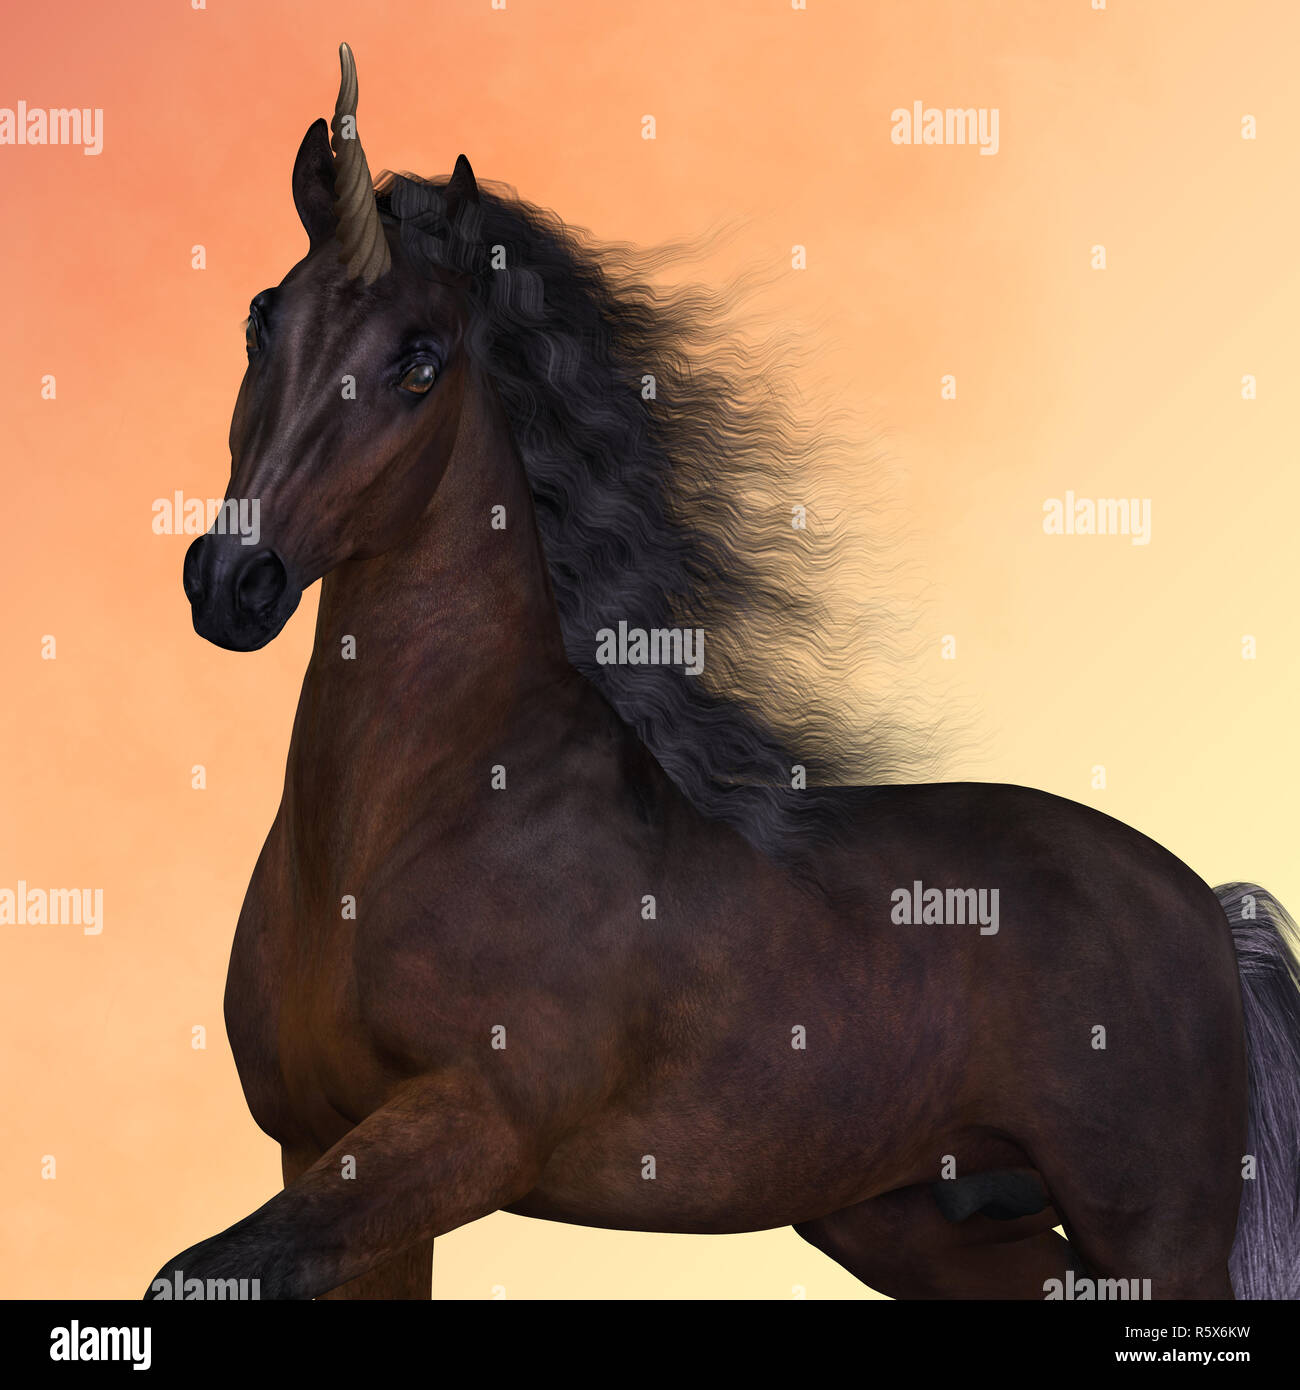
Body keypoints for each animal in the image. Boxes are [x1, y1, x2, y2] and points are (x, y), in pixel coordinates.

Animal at [156, 43, 1300, 1300]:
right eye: (262, 320)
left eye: (421, 361)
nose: (232, 580)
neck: (406, 829)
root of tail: (1204, 905)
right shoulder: (323, 1150)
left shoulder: (473, 1129)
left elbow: (192, 1272)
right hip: (909, 1217)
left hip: (1151, 1236)